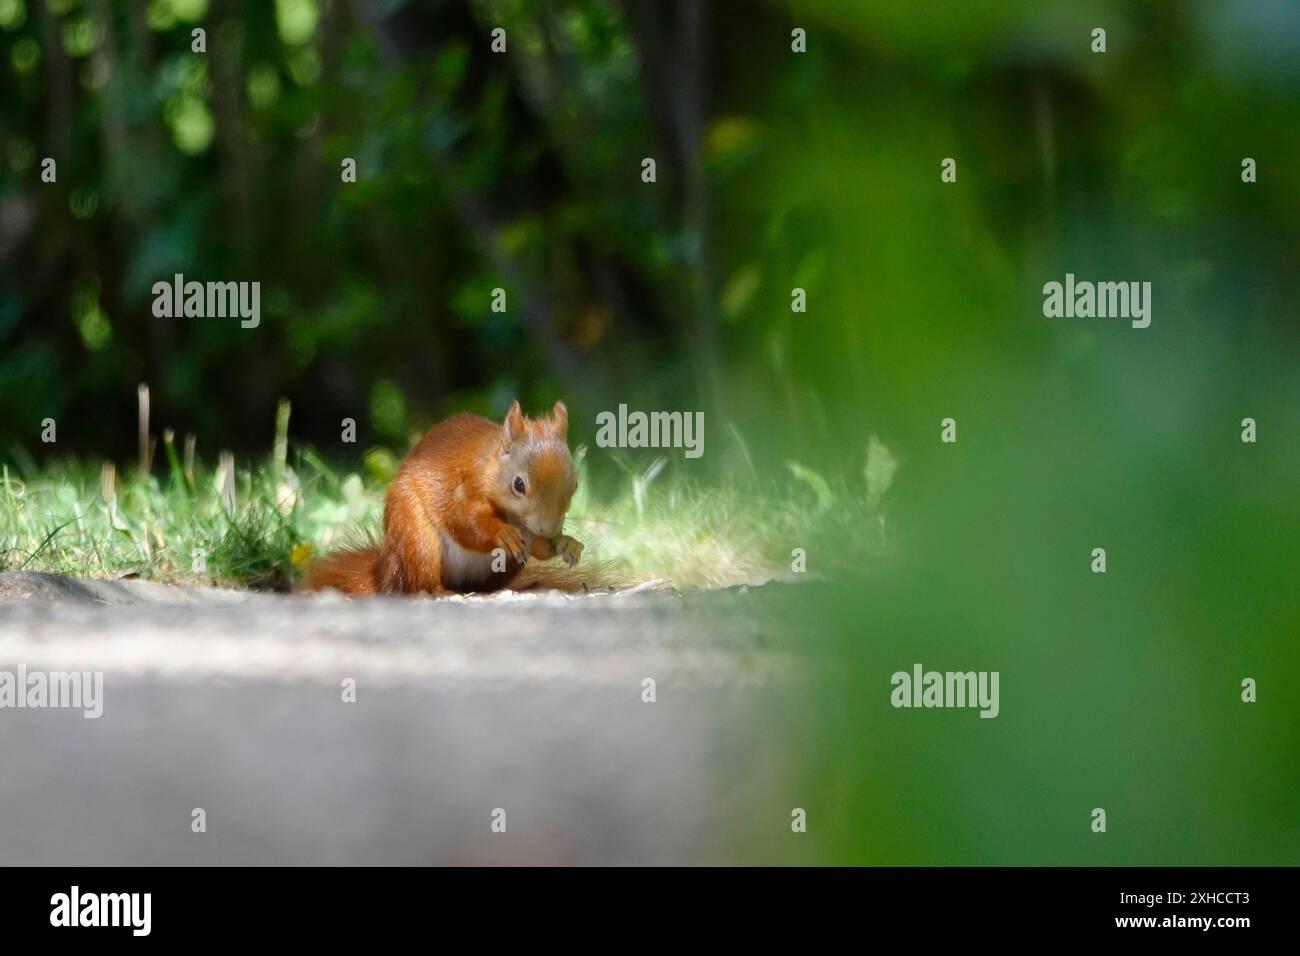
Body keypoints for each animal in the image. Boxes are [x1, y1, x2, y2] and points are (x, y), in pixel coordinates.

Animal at [302, 400, 585, 597]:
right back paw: (436, 591)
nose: (549, 529)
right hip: (417, 539)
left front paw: (565, 544)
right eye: (519, 484)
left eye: (575, 484)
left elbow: (537, 547)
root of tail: (385, 572)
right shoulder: (462, 488)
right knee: (417, 582)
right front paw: (502, 533)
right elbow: (464, 522)